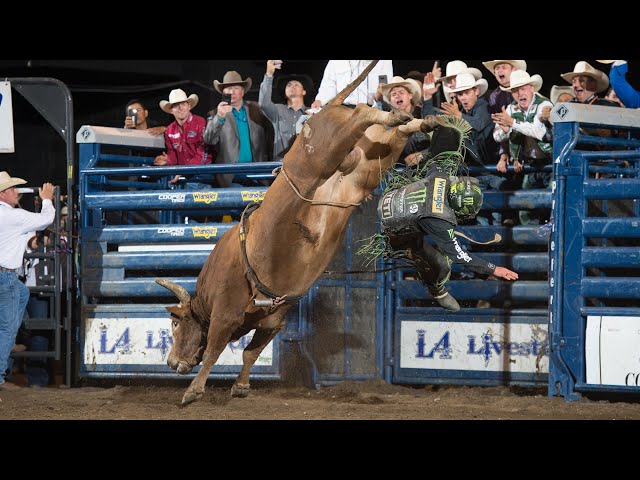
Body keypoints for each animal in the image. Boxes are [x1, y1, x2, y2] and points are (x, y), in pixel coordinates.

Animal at [156, 60, 445, 405]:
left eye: (175, 323)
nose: (171, 362)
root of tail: (328, 109)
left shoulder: (226, 315)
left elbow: (214, 350)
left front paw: (194, 390)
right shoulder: (274, 318)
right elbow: (251, 353)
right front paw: (241, 386)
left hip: (323, 151)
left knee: (362, 112)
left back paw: (388, 114)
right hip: (369, 164)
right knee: (391, 134)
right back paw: (416, 121)